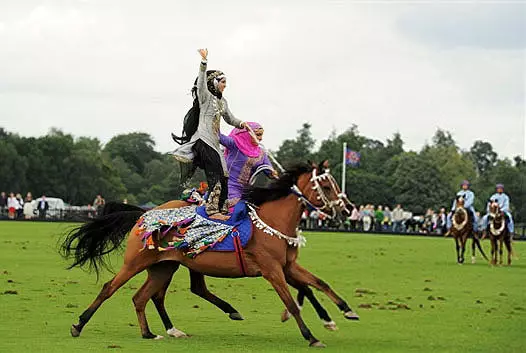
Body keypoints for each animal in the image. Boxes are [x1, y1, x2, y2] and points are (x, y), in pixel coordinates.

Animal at [60, 164, 358, 346]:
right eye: (327, 187)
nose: (348, 210)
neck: (273, 222)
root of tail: (144, 214)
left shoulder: (288, 266)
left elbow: (318, 283)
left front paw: (345, 311)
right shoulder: (272, 270)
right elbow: (294, 301)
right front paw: (311, 335)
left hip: (164, 267)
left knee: (144, 297)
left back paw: (152, 333)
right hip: (136, 262)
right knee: (110, 288)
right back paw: (78, 325)